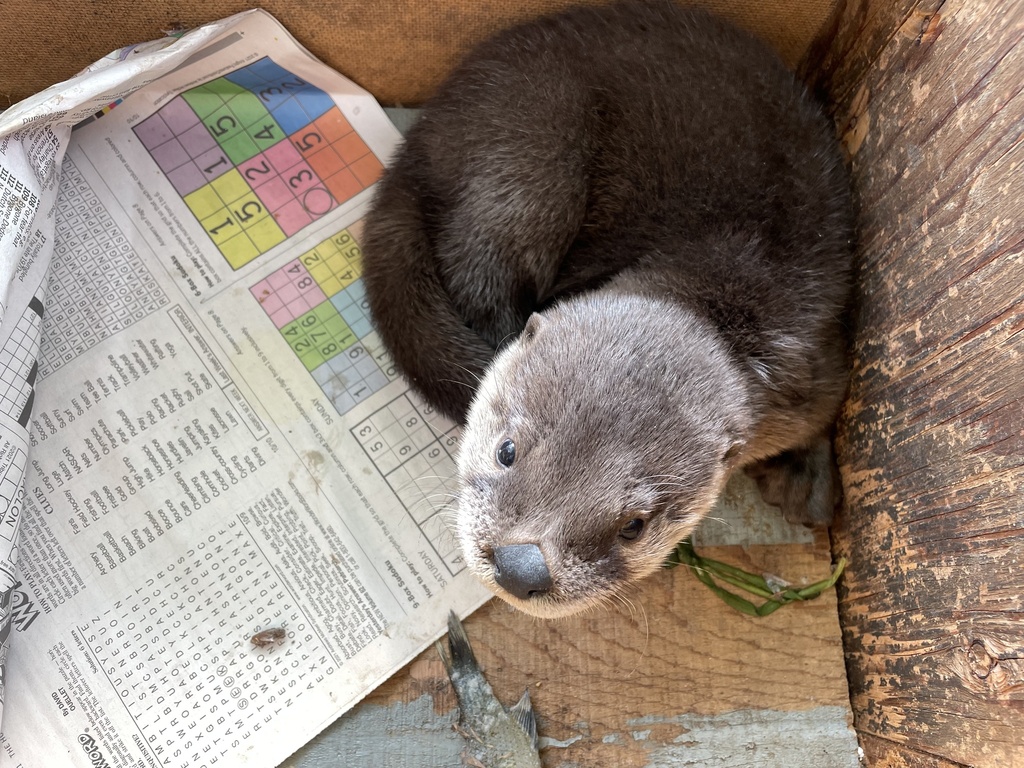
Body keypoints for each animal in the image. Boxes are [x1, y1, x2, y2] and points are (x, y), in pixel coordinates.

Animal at [362, 1, 853, 618]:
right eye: (506, 451)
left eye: (634, 526)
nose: (521, 567)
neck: (726, 285)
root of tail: (424, 135)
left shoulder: (812, 364)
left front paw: (806, 474)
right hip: (533, 146)